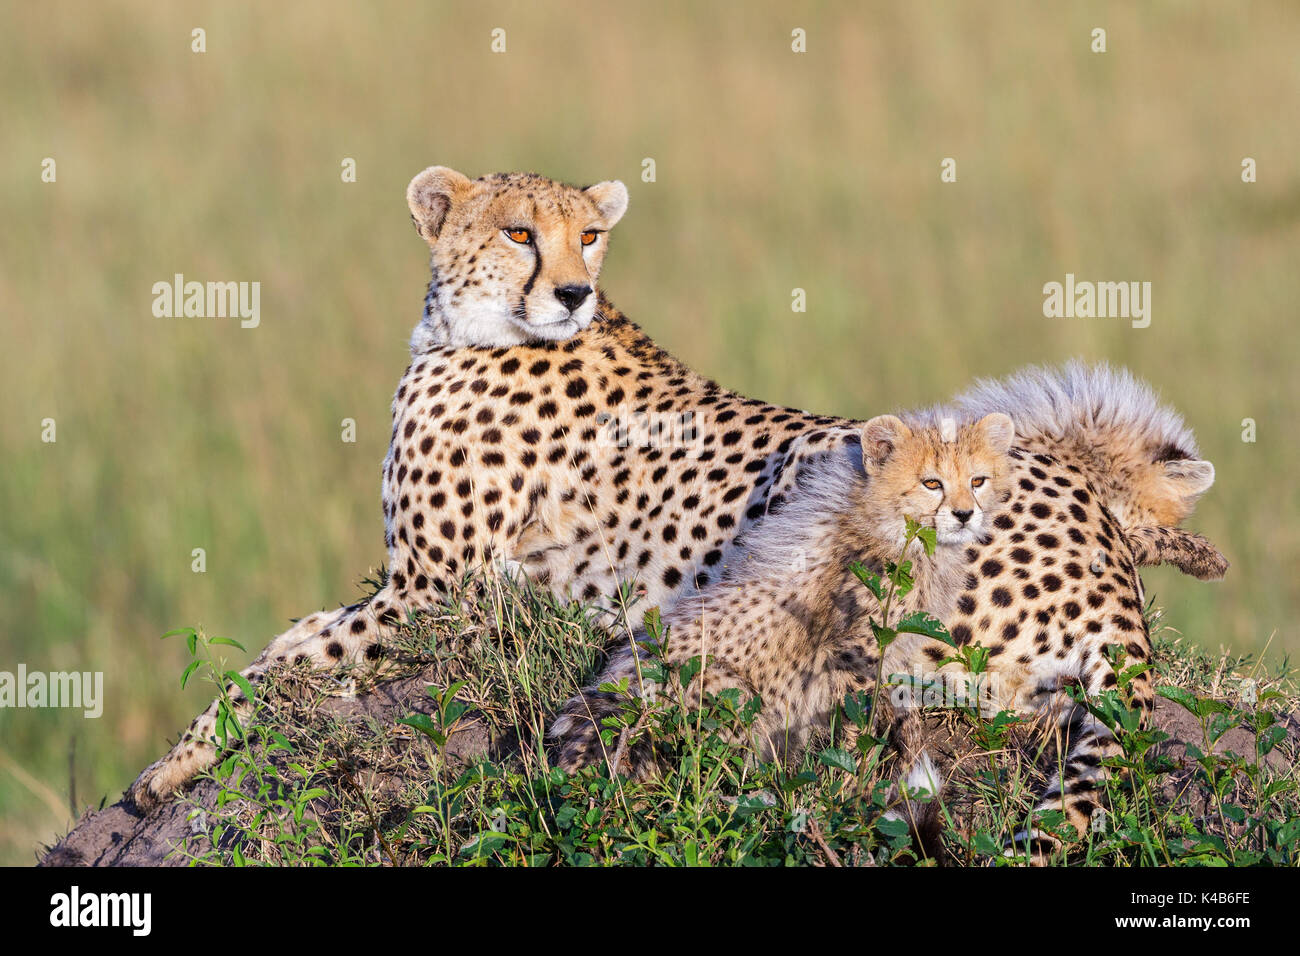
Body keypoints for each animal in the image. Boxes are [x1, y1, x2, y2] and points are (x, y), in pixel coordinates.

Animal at [128, 166, 1224, 826]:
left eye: (591, 237)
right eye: (520, 231)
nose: (570, 290)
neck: (473, 329)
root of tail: (1107, 558)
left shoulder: (436, 592)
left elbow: (275, 662)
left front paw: (170, 768)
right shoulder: (422, 587)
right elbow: (288, 644)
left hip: (823, 479)